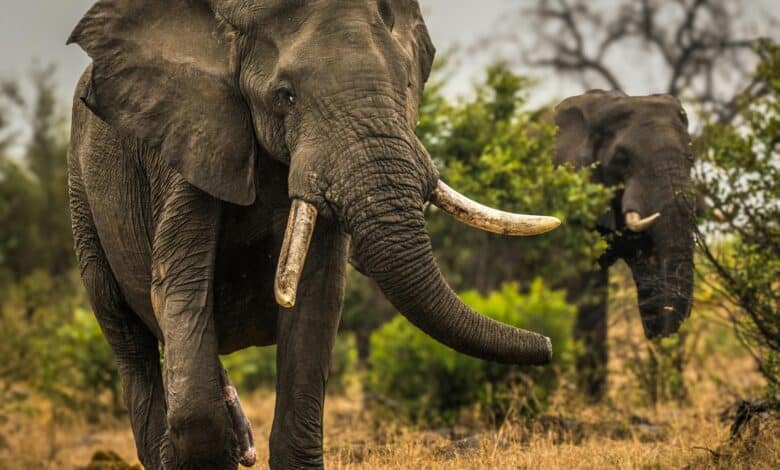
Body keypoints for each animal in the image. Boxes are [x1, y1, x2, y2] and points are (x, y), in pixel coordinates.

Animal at [66, 1, 561, 468]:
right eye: (284, 96)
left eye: (406, 86)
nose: (547, 344)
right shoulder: (188, 141)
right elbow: (180, 287)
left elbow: (314, 302)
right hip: (81, 198)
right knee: (127, 335)